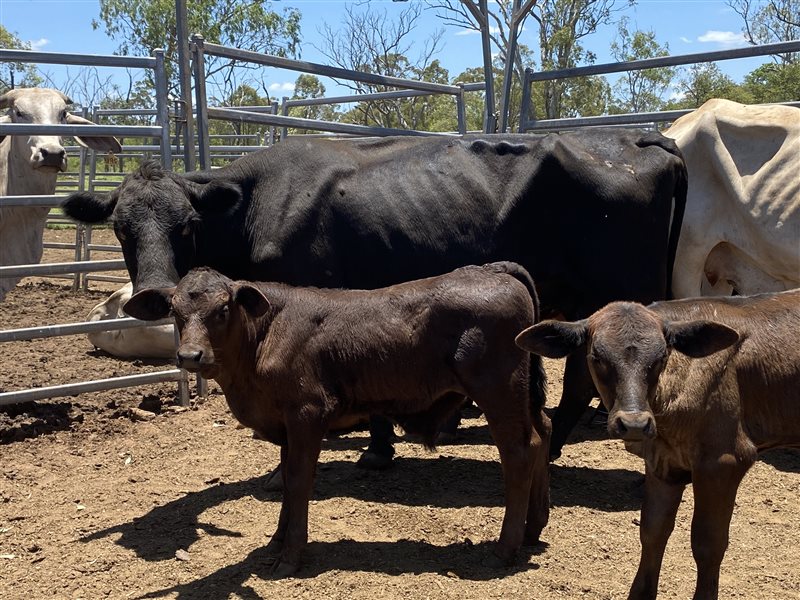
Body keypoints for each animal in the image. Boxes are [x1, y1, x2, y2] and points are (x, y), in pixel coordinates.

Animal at [61, 129, 688, 462]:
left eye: (188, 225)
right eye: (120, 227)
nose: (152, 294)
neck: (260, 202)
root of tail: (638, 137)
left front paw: (377, 446)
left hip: (615, 295)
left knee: (583, 377)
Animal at [123, 262, 552, 577]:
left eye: (223, 309)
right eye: (174, 311)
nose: (190, 356)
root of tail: (492, 269)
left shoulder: (308, 414)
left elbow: (299, 481)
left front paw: (291, 555)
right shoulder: (285, 425)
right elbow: (286, 478)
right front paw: (277, 539)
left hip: (498, 392)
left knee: (519, 451)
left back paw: (504, 548)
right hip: (521, 395)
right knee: (543, 434)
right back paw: (533, 529)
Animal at [515, 289, 800, 600]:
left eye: (662, 357)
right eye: (596, 357)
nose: (634, 423)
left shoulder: (723, 461)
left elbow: (708, 544)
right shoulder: (663, 462)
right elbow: (652, 531)